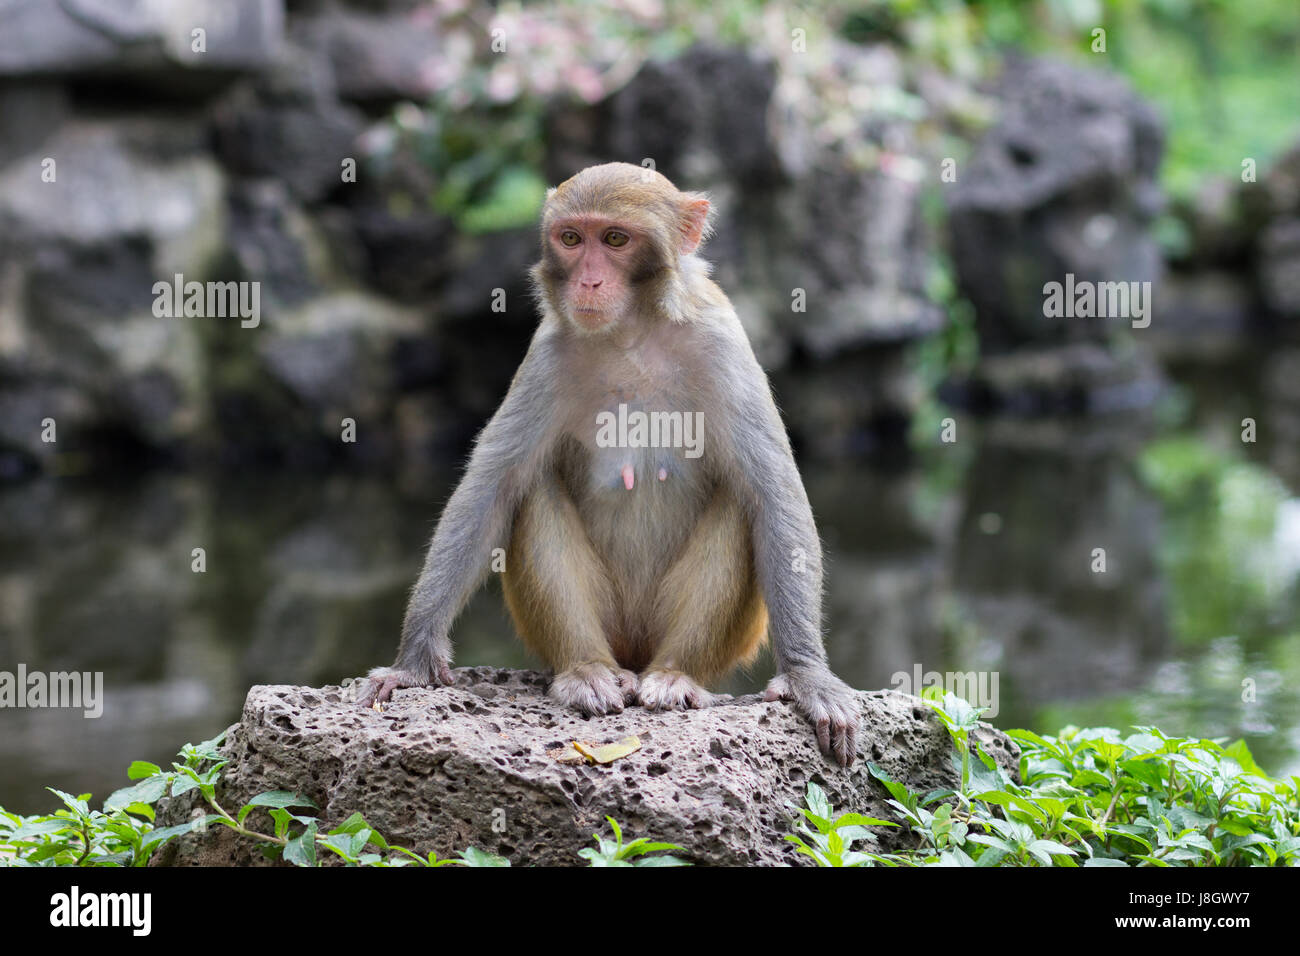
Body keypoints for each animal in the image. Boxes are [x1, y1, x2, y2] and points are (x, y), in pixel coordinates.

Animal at [356, 162, 859, 765]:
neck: (632, 332)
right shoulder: (547, 354)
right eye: (572, 239)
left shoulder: (723, 342)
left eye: (616, 240)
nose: (589, 282)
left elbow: (773, 495)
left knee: (740, 506)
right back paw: (587, 672)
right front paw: (412, 661)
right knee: (534, 492)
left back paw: (674, 675)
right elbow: (491, 492)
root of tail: (633, 656)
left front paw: (808, 676)